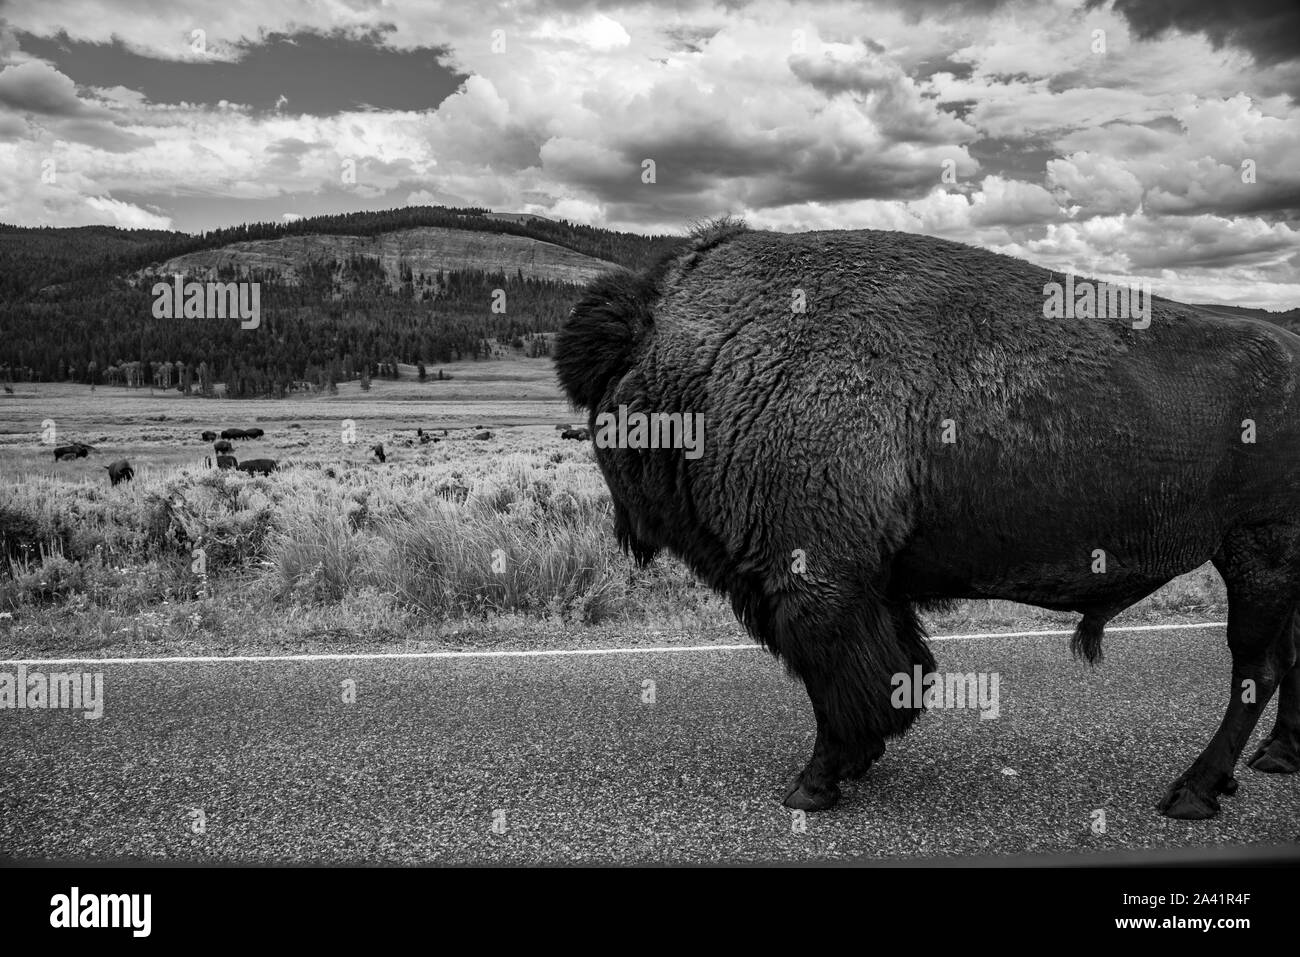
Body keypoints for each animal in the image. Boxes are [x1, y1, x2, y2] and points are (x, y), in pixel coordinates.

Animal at [555, 221, 1300, 821]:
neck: (712, 349)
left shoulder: (818, 582)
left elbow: (844, 682)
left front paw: (814, 784)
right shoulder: (873, 586)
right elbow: (893, 670)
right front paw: (853, 764)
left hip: (1259, 549)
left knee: (1255, 666)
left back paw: (1193, 791)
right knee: (1286, 657)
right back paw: (1274, 758)